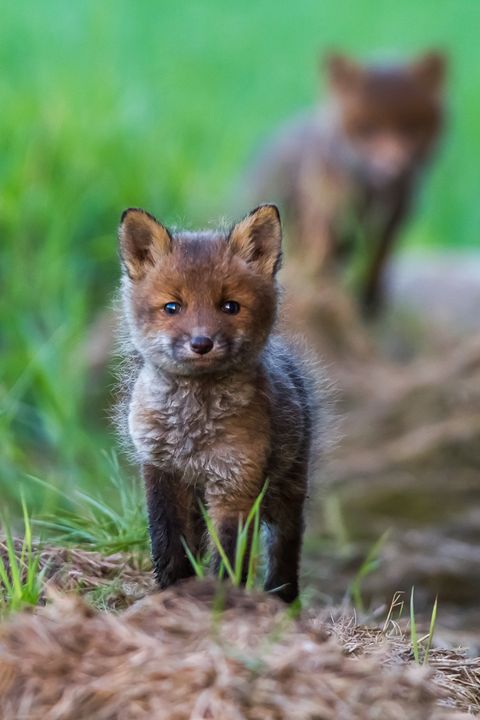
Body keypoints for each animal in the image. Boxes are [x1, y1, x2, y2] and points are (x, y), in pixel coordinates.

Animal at [116, 204, 330, 603]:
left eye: (230, 306)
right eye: (172, 307)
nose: (201, 343)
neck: (192, 430)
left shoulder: (237, 483)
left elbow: (230, 552)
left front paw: (219, 599)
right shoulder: (161, 471)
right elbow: (167, 543)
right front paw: (173, 591)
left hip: (288, 489)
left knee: (285, 546)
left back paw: (282, 599)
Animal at [249, 51, 446, 314]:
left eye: (411, 128)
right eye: (367, 129)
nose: (393, 166)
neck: (370, 197)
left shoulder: (394, 218)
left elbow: (378, 259)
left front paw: (370, 300)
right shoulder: (325, 213)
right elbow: (324, 257)